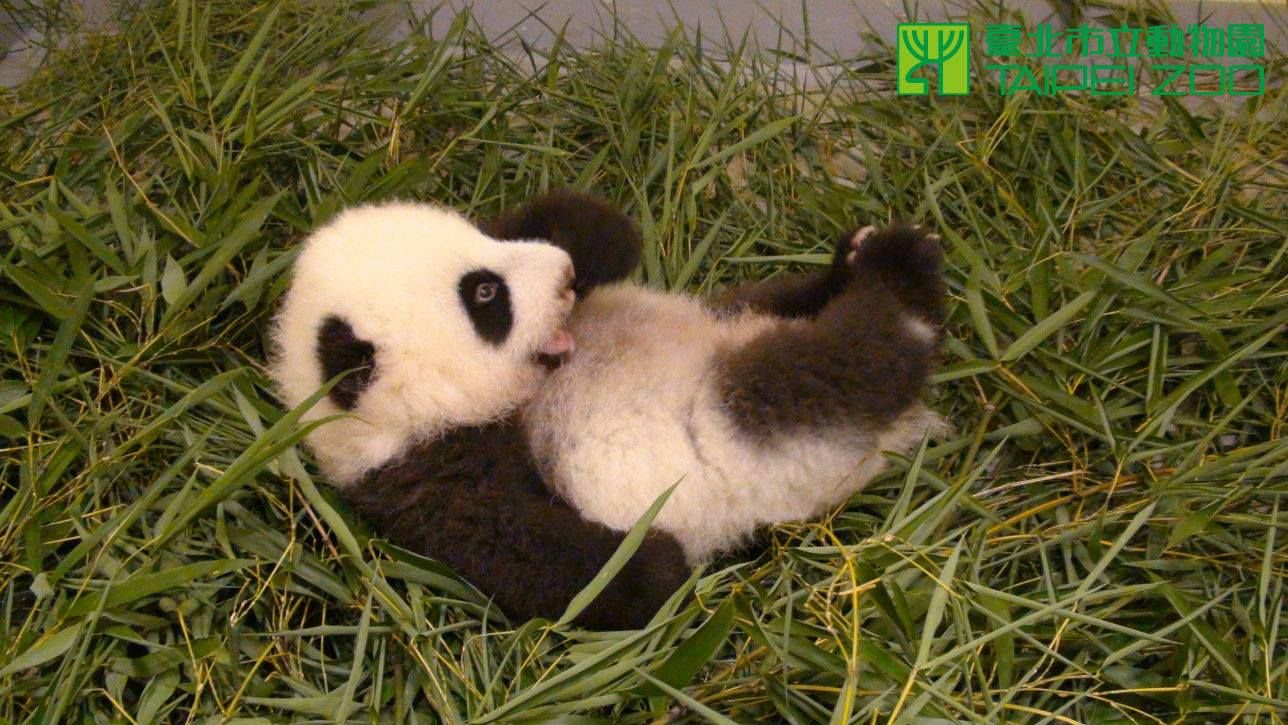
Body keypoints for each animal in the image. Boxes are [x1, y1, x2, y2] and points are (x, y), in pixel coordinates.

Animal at [269, 200, 691, 630]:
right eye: (485, 293)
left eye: (484, 237)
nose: (567, 275)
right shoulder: (420, 473)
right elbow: (513, 542)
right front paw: (651, 567)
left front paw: (601, 231)